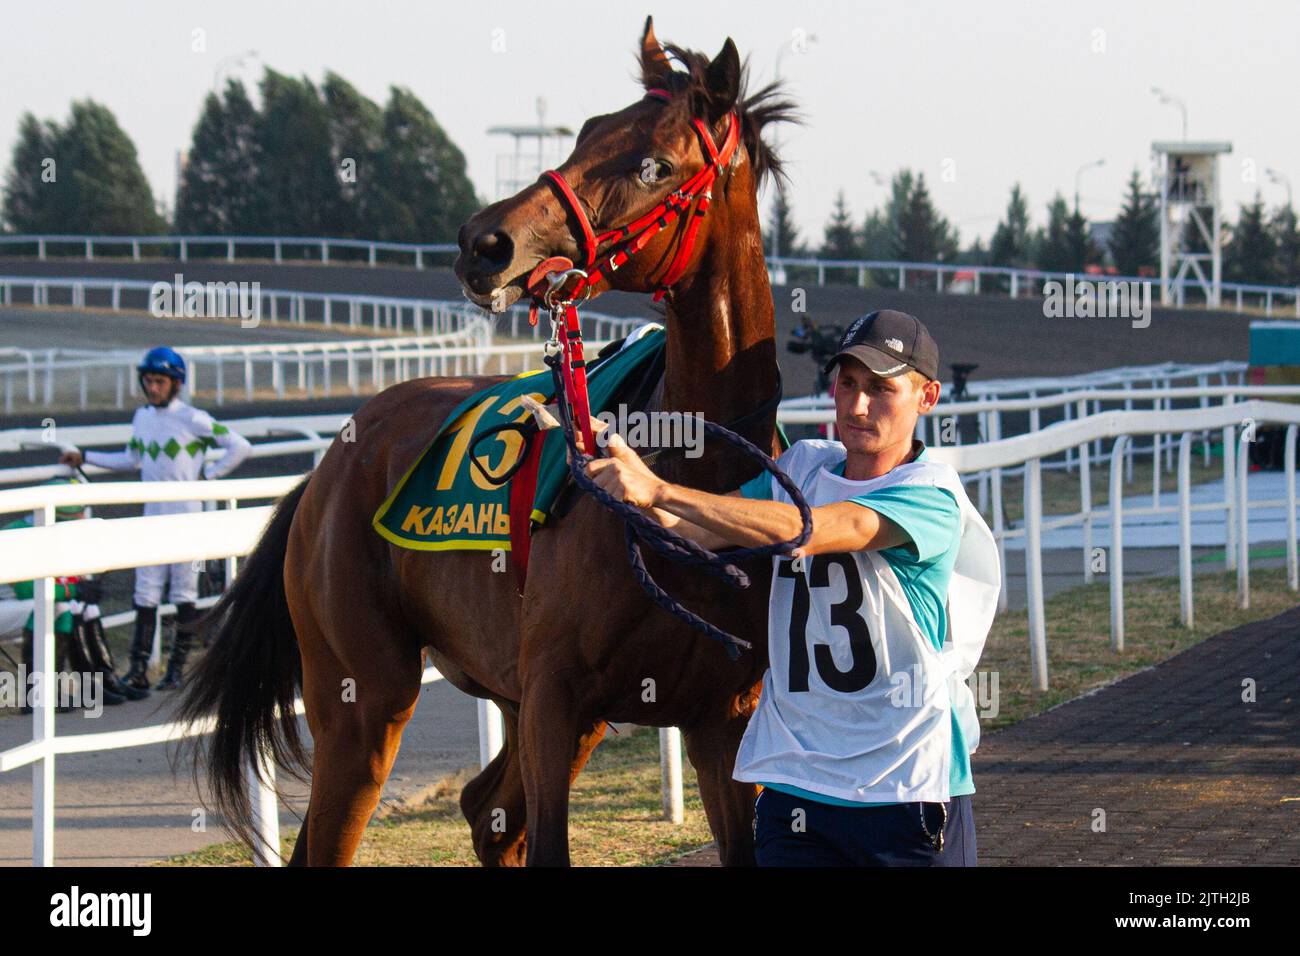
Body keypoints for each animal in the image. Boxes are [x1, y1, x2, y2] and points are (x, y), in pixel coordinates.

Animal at [180, 16, 796, 866]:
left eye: (655, 164)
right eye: (585, 131)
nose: (485, 242)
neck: (687, 486)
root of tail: (334, 457)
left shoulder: (722, 721)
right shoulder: (553, 698)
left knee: (483, 810)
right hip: (363, 699)